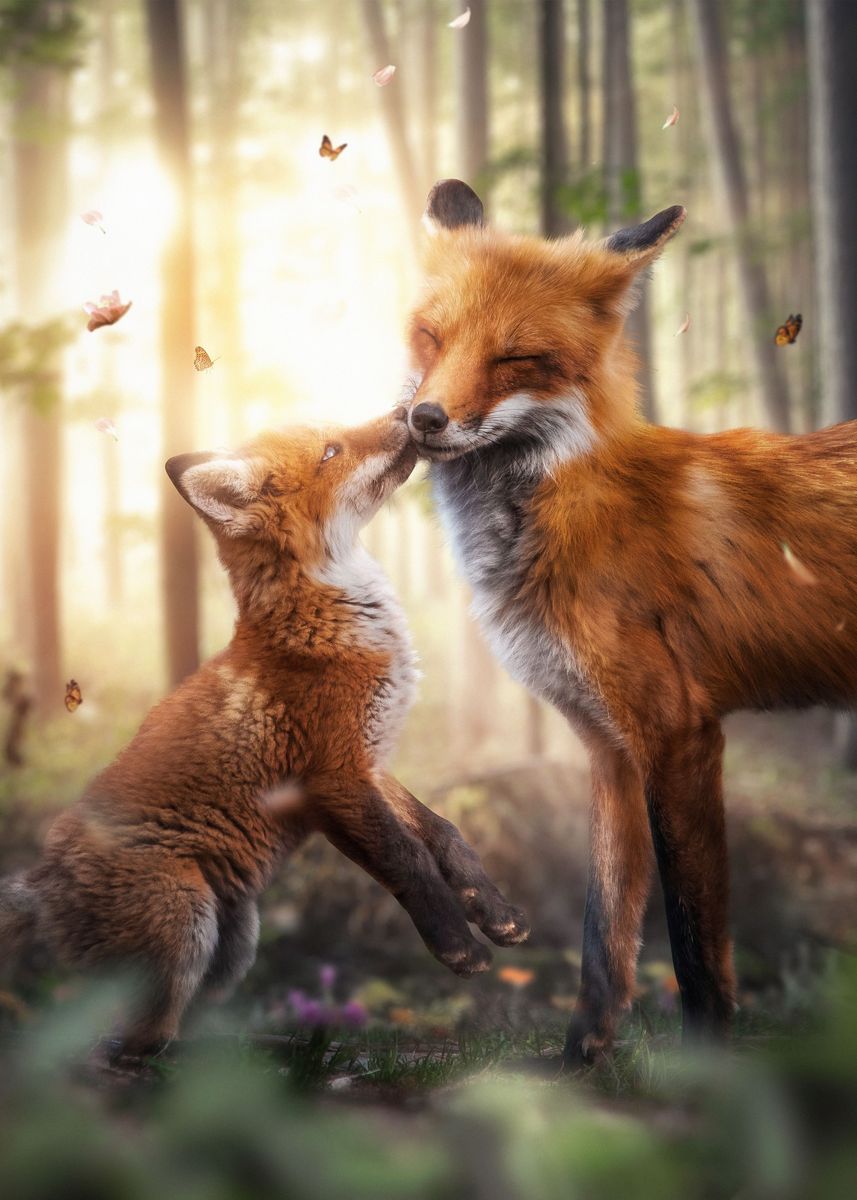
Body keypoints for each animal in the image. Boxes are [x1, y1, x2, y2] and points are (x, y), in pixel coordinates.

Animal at [0, 408, 528, 1058]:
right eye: (331, 452)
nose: (411, 413)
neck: (332, 623)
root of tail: (43, 880)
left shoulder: (369, 762)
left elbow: (447, 836)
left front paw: (495, 912)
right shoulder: (331, 781)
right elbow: (408, 860)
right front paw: (457, 946)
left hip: (235, 941)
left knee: (179, 1033)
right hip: (187, 920)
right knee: (127, 1044)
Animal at [404, 178, 857, 1066]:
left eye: (514, 358)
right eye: (431, 337)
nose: (423, 418)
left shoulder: (678, 733)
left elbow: (692, 940)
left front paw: (710, 1067)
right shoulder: (606, 746)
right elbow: (603, 929)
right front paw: (579, 1059)